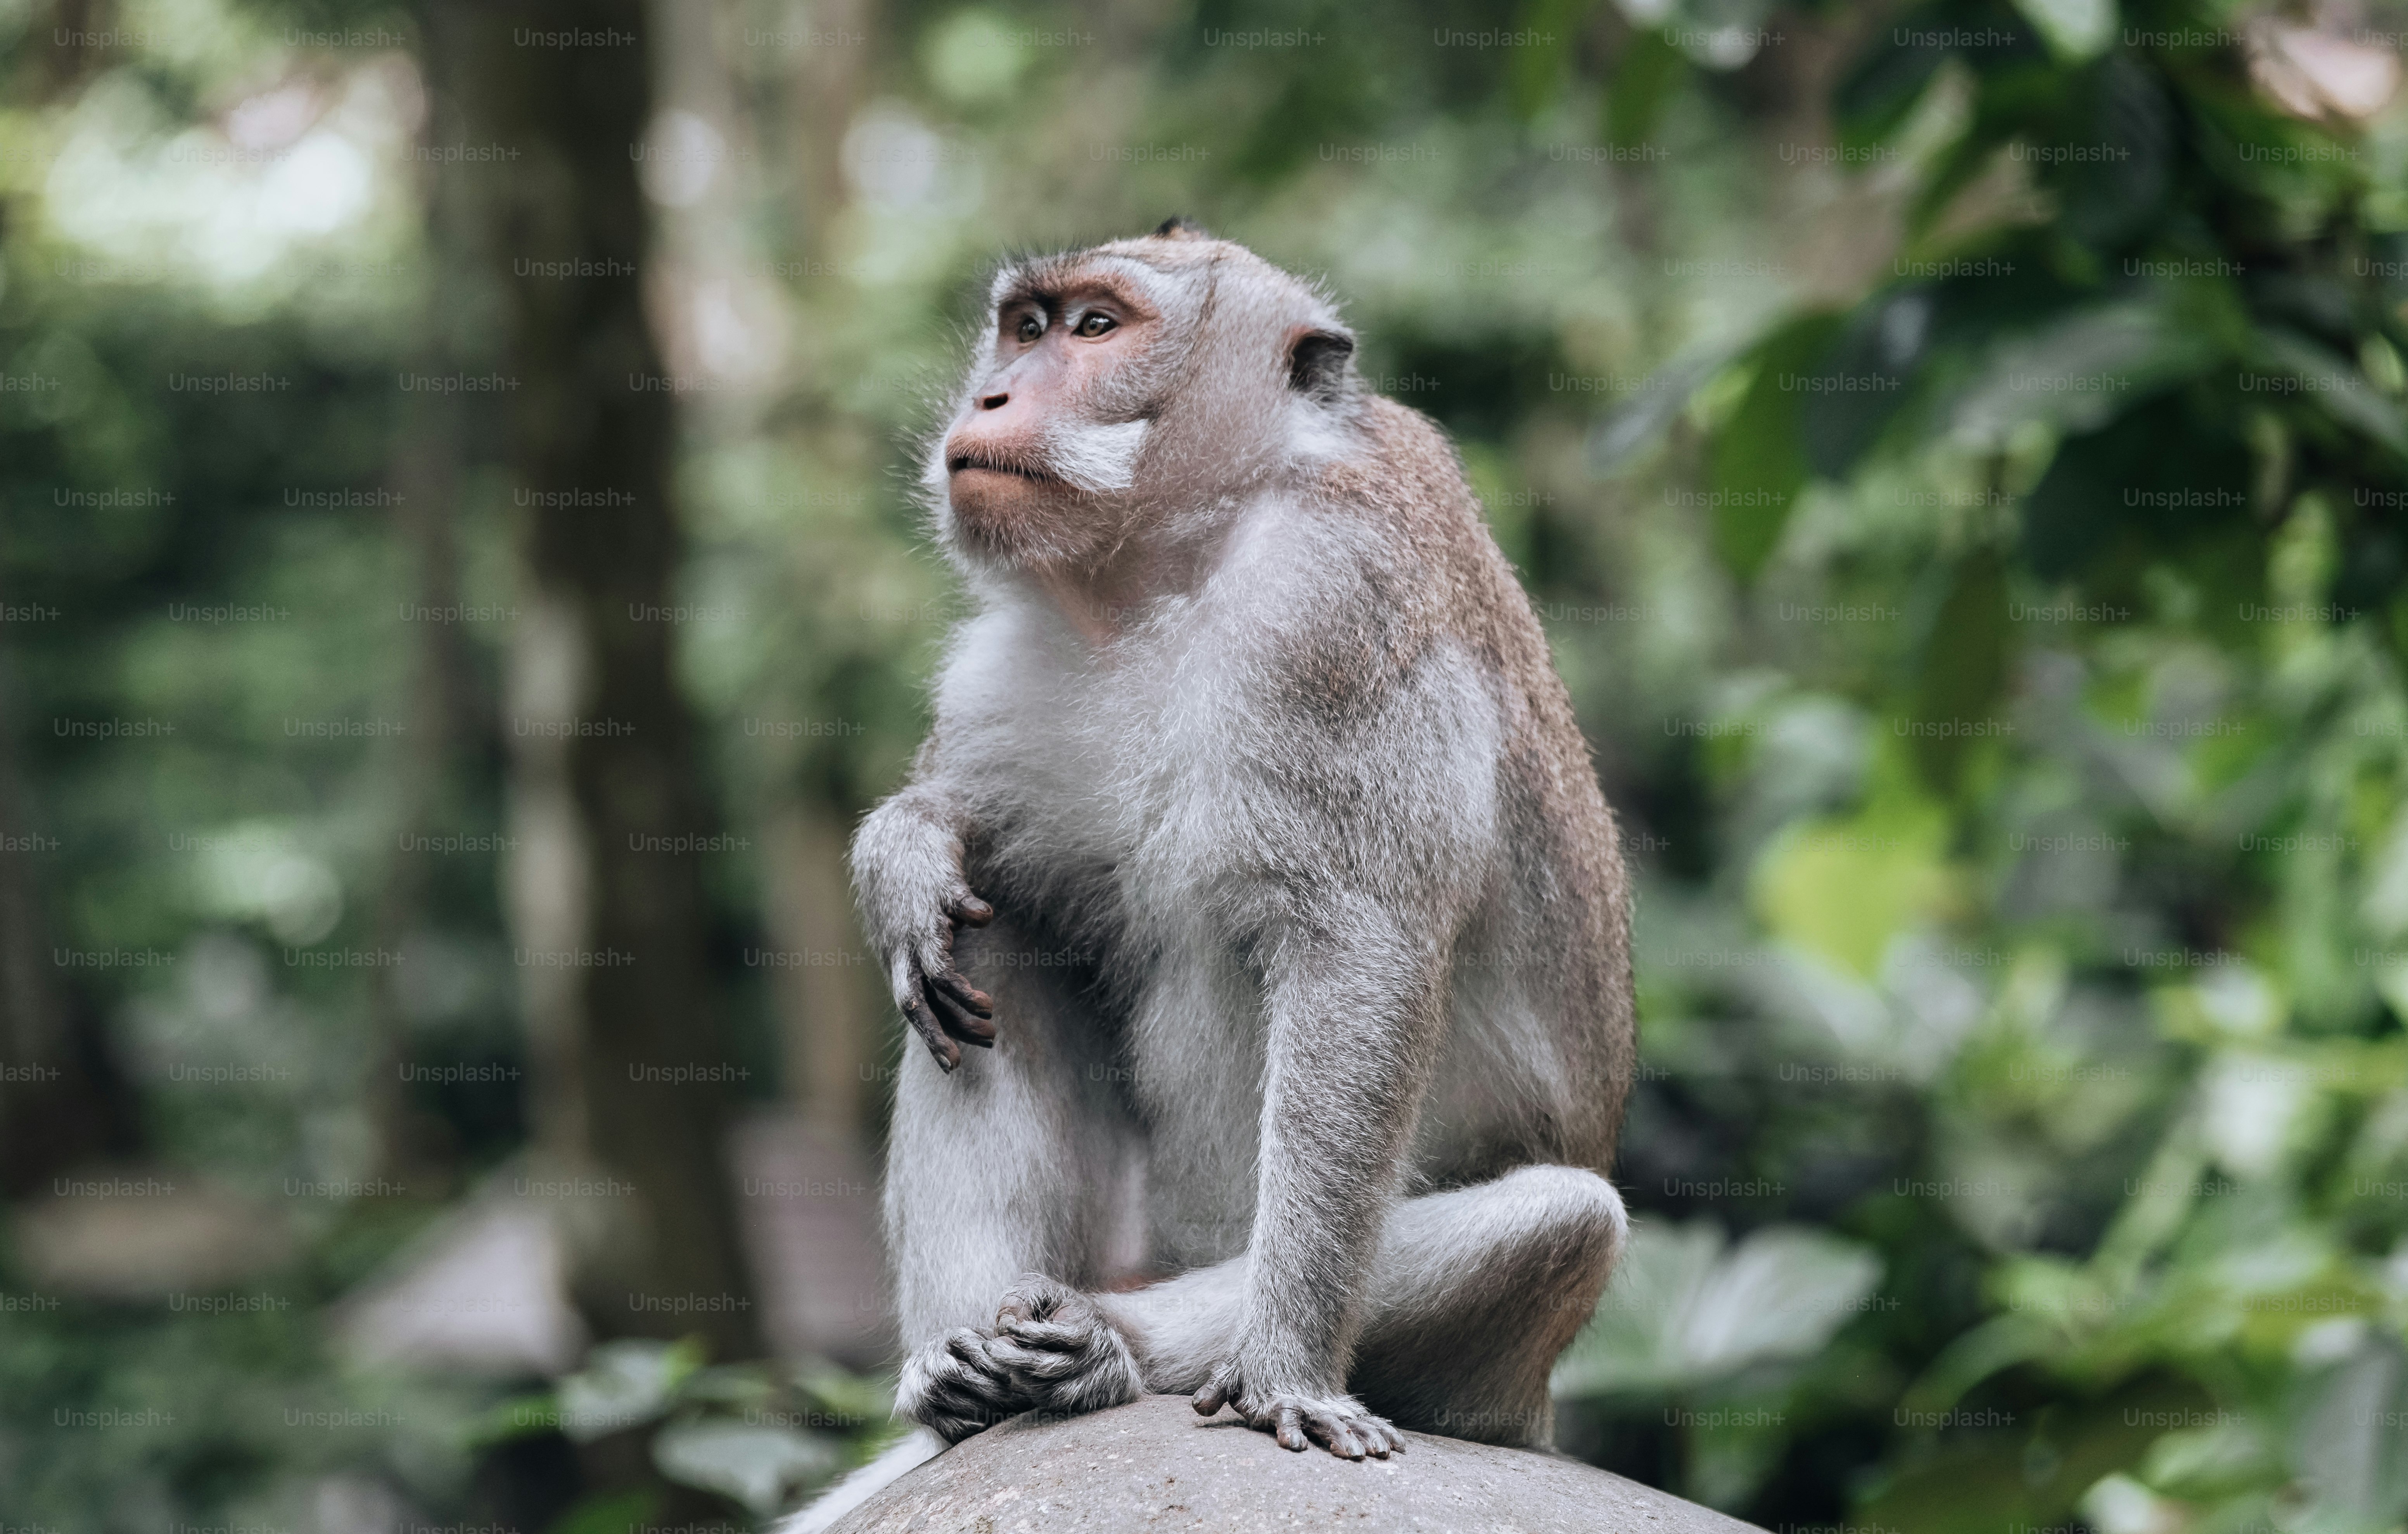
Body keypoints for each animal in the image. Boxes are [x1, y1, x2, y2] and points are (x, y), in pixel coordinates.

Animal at [794, 217, 1634, 1526]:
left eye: (1096, 328)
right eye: (1023, 328)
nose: (990, 395)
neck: (1175, 560)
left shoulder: (1330, 609)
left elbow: (1359, 956)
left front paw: (1285, 1363)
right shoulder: (1010, 659)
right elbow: (980, 859)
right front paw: (905, 848)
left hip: (1476, 1357)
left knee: (1566, 1222)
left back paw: (1110, 1342)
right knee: (993, 934)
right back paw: (959, 1373)